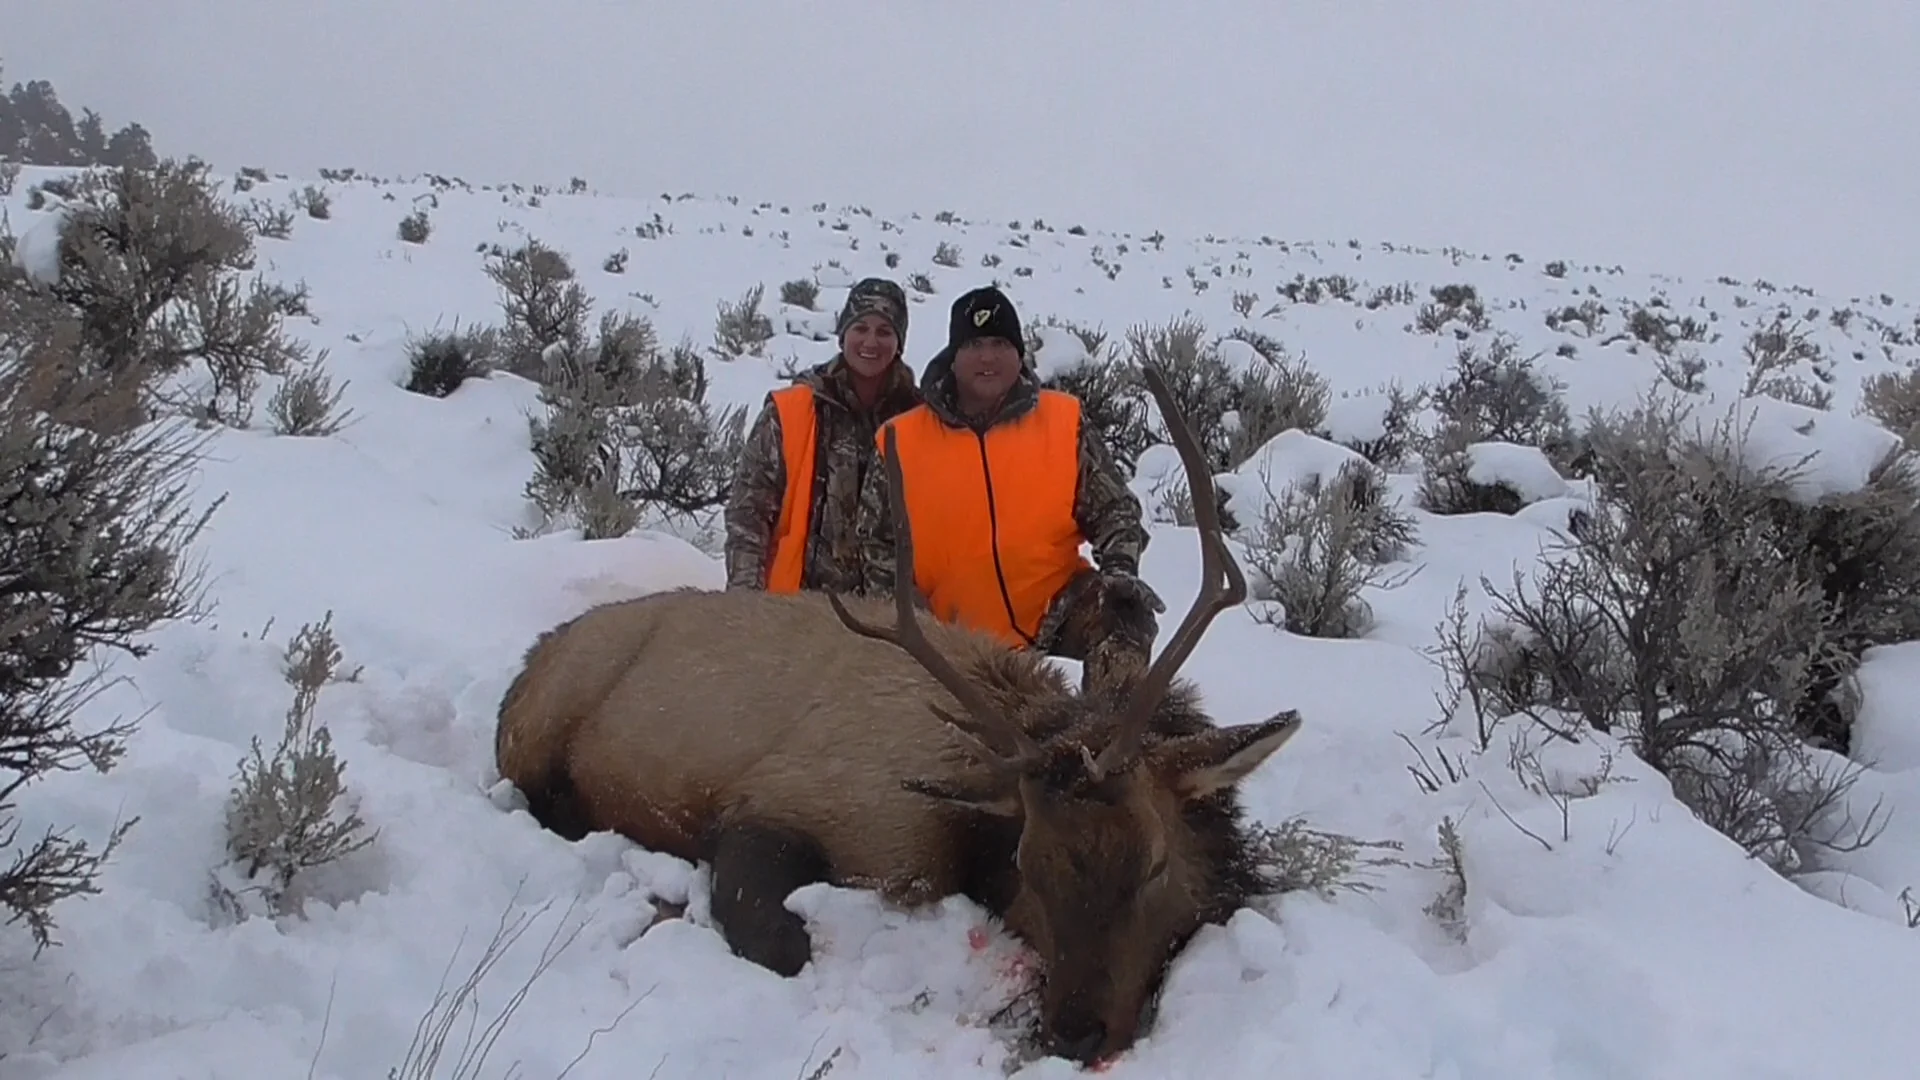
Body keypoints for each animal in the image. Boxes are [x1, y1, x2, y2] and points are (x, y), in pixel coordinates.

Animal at [492, 364, 1302, 1067]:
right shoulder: (796, 806)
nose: (1075, 1032)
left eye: (1155, 862)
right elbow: (779, 938)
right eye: (1029, 866)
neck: (962, 830)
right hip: (543, 727)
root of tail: (531, 660)